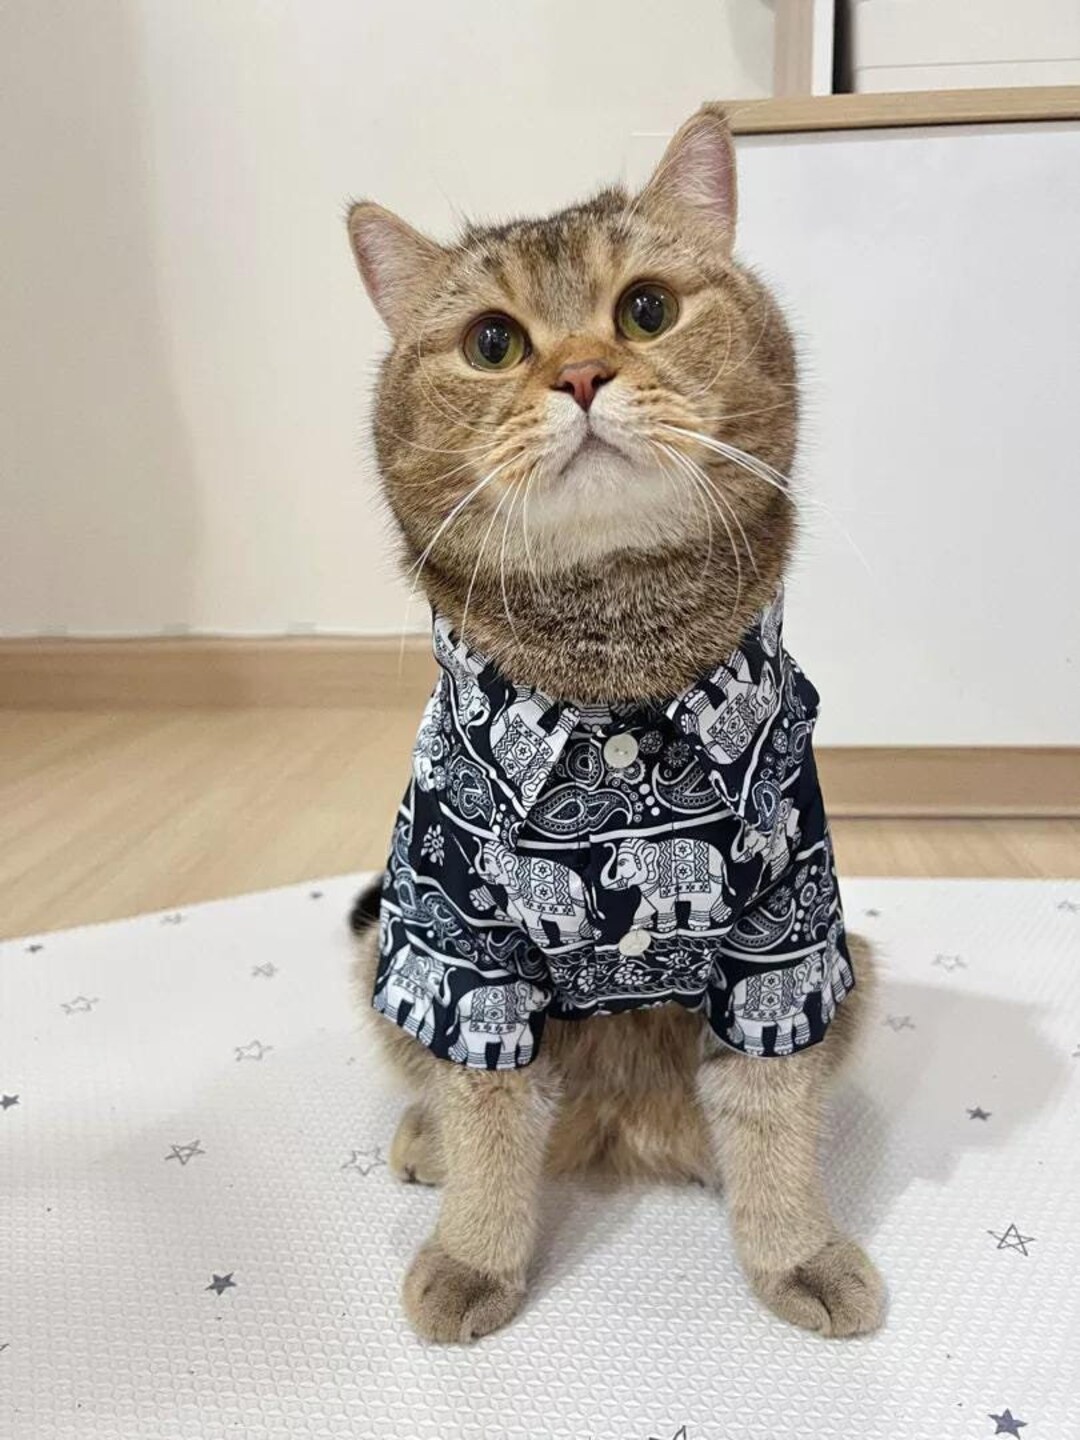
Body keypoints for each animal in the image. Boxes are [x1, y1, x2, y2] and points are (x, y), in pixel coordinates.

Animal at [600, 836, 732, 933]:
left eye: (621, 863)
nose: (606, 846)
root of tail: (721, 858)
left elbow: (663, 905)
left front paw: (665, 928)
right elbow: (646, 906)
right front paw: (646, 925)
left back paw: (698, 927)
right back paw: (724, 916)